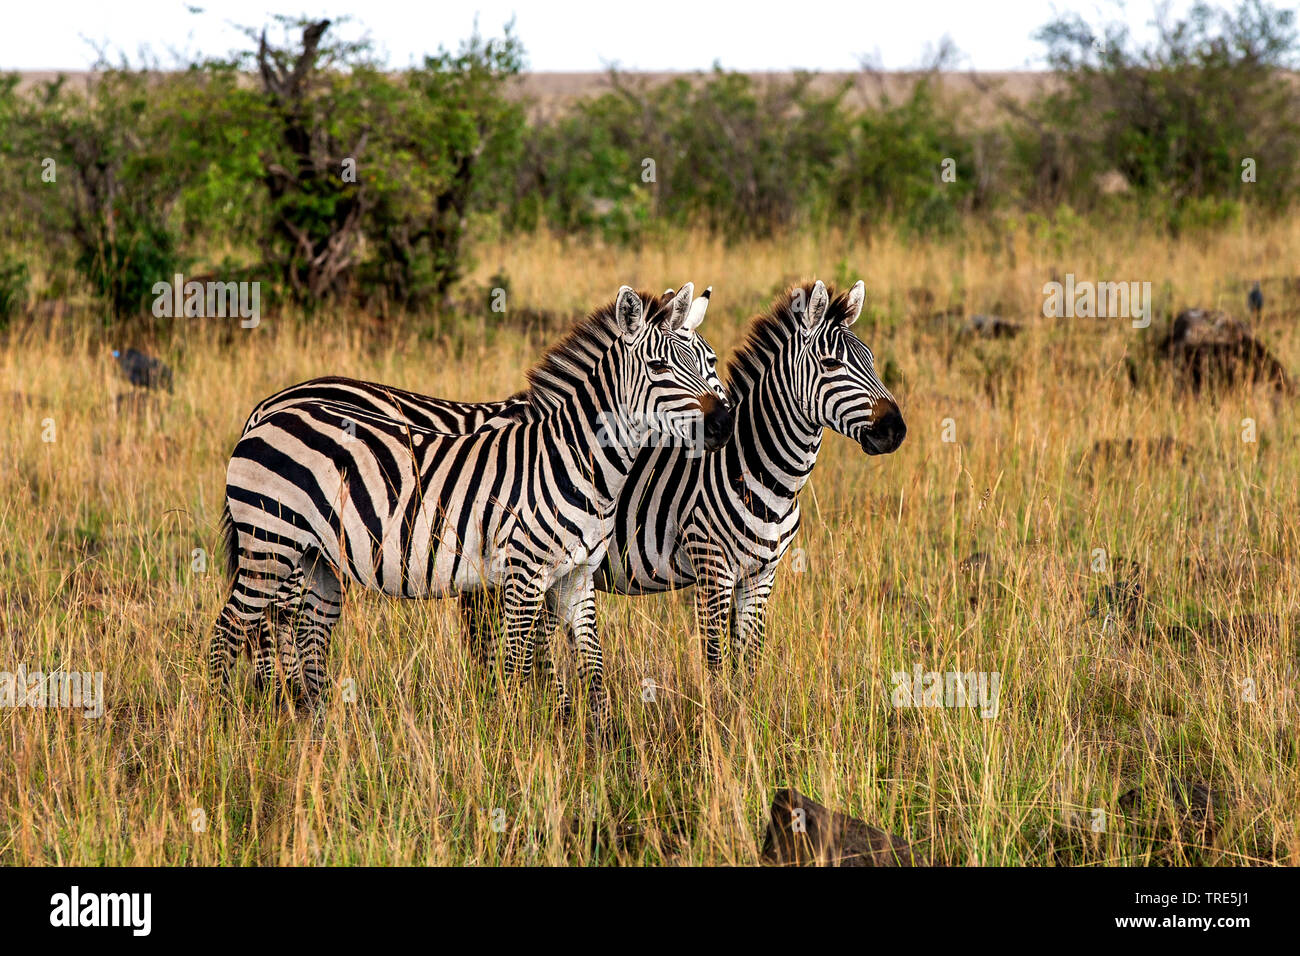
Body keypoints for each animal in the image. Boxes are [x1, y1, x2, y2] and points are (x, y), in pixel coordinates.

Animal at [209, 285, 733, 722]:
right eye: (660, 368)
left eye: (708, 362)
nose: (723, 424)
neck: (582, 463)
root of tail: (269, 412)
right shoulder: (524, 574)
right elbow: (517, 667)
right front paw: (517, 744)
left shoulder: (577, 577)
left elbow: (594, 667)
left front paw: (600, 748)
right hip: (271, 543)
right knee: (231, 630)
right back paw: (220, 727)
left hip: (316, 557)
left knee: (304, 636)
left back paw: (314, 731)